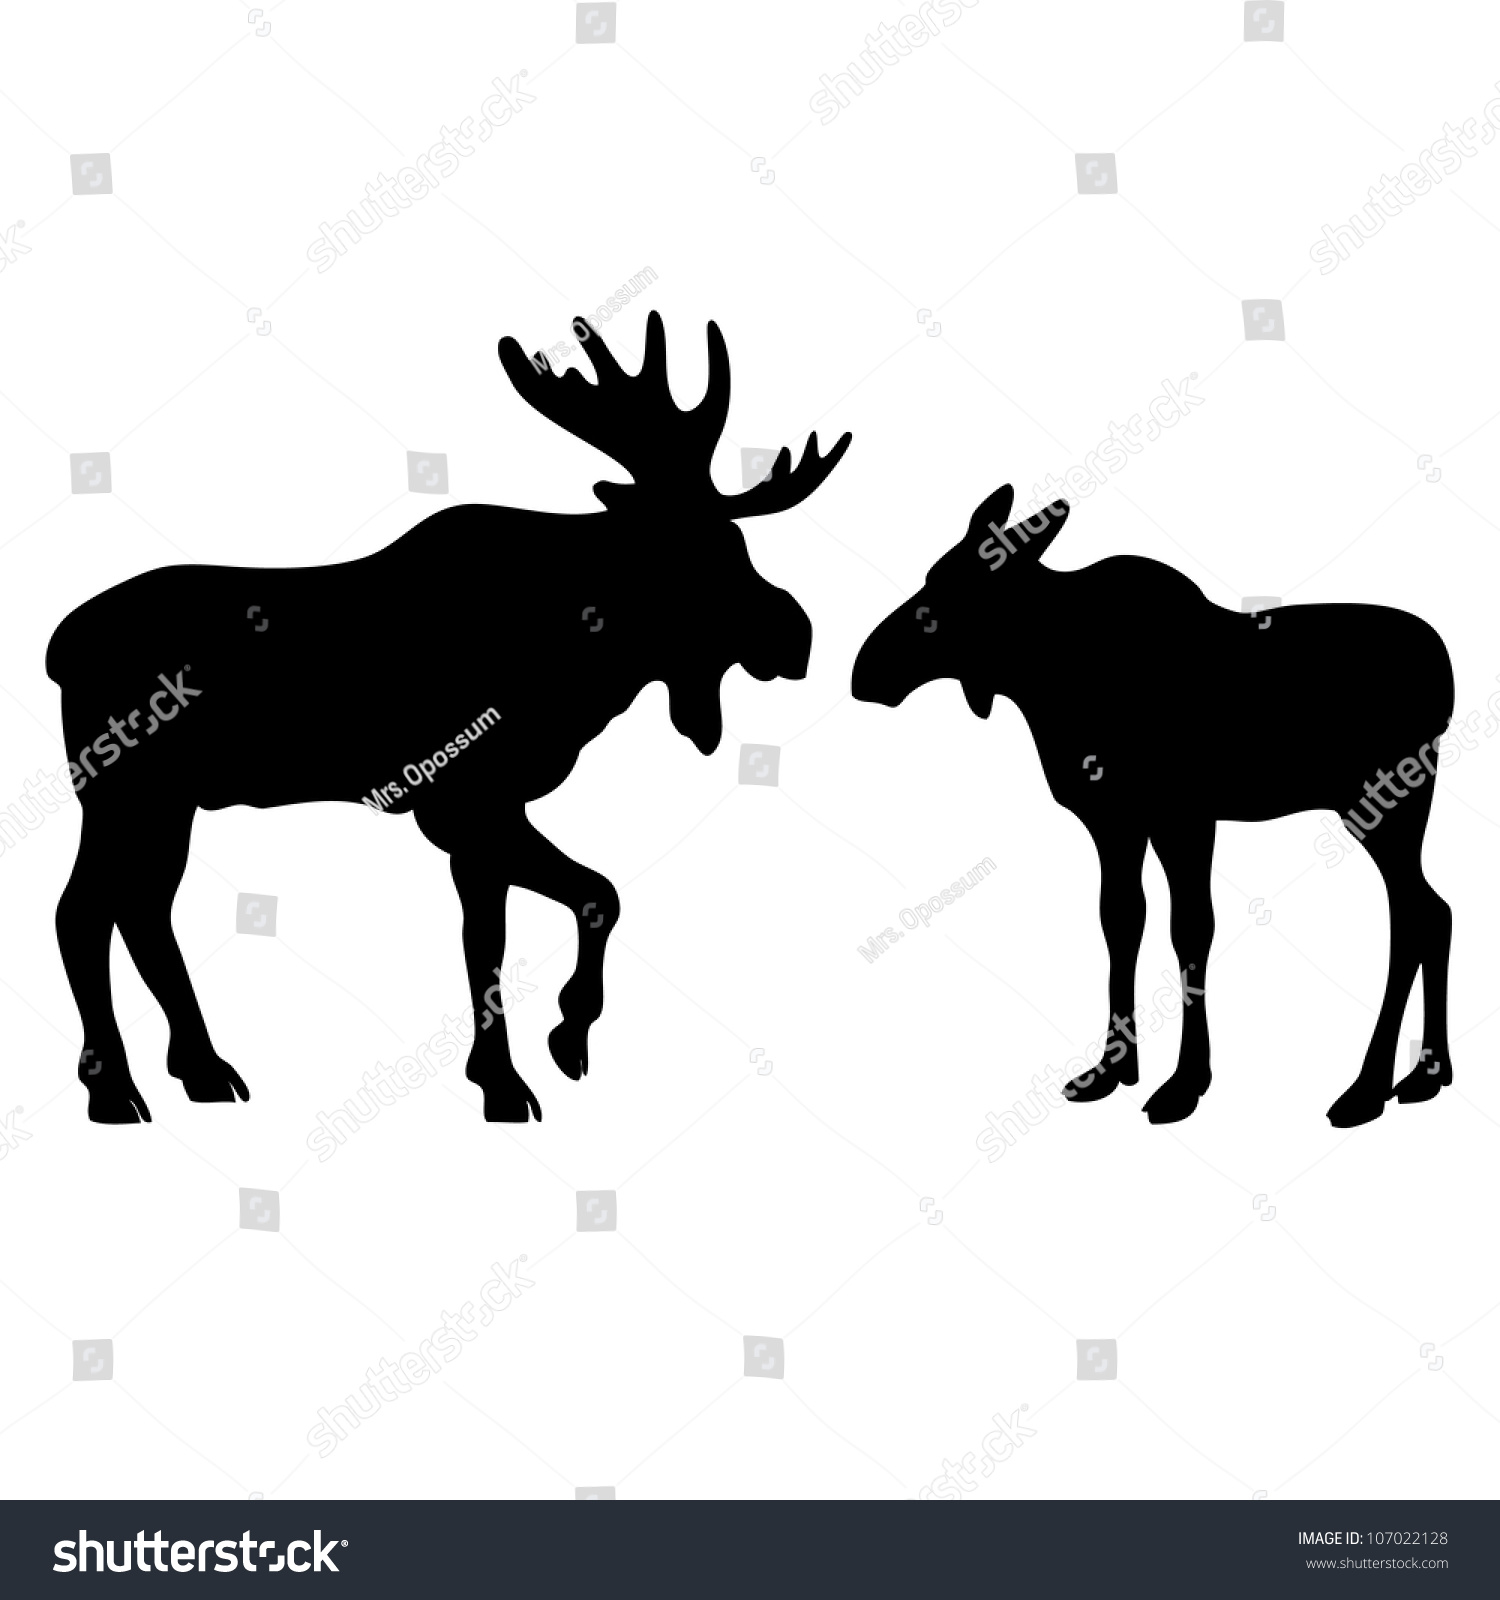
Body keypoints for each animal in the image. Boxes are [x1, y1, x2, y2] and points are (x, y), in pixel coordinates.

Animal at [47, 311, 850, 1125]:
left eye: (738, 542)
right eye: (687, 552)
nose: (797, 634)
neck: (575, 645)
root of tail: (58, 648)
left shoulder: (489, 811)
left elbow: (585, 900)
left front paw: (554, 1043)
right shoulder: (463, 804)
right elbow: (514, 933)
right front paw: (512, 1076)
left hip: (168, 804)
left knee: (141, 910)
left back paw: (203, 1070)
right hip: (123, 793)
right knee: (81, 912)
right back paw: (114, 1089)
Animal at [850, 484, 1455, 1129]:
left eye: (952, 591)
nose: (867, 670)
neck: (1046, 677)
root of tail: (1447, 674)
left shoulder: (1183, 816)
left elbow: (1190, 929)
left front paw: (1185, 1081)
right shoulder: (1113, 820)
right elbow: (1122, 920)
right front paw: (1112, 1067)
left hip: (1384, 803)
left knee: (1414, 915)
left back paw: (1368, 1087)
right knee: (1434, 911)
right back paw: (1426, 1073)